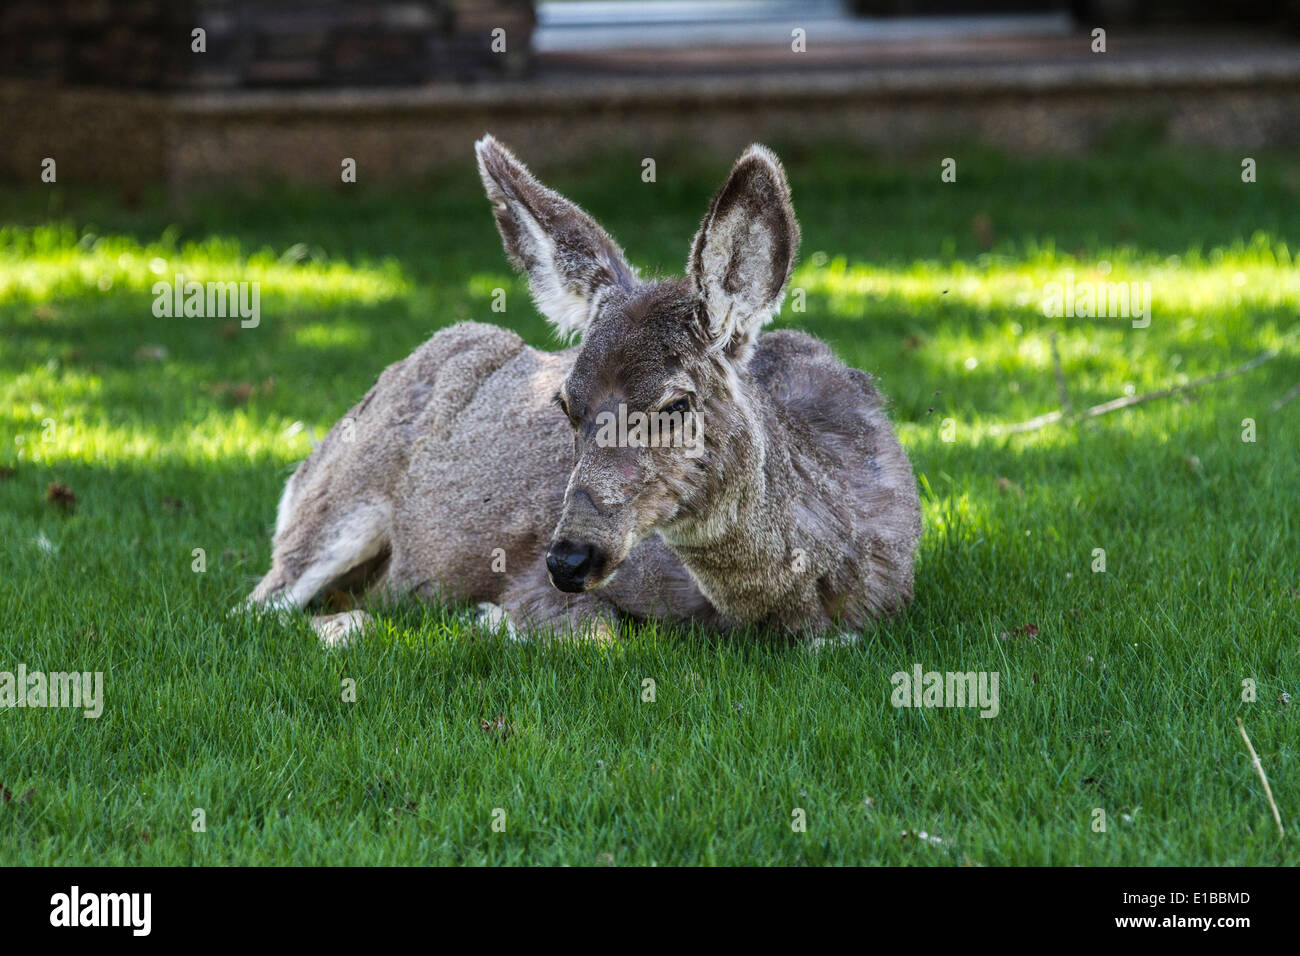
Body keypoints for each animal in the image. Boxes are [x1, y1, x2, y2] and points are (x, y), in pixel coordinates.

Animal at [237, 136, 921, 647]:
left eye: (676, 404)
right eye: (566, 405)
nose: (567, 557)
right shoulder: (534, 584)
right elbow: (598, 633)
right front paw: (487, 618)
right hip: (339, 496)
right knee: (257, 606)